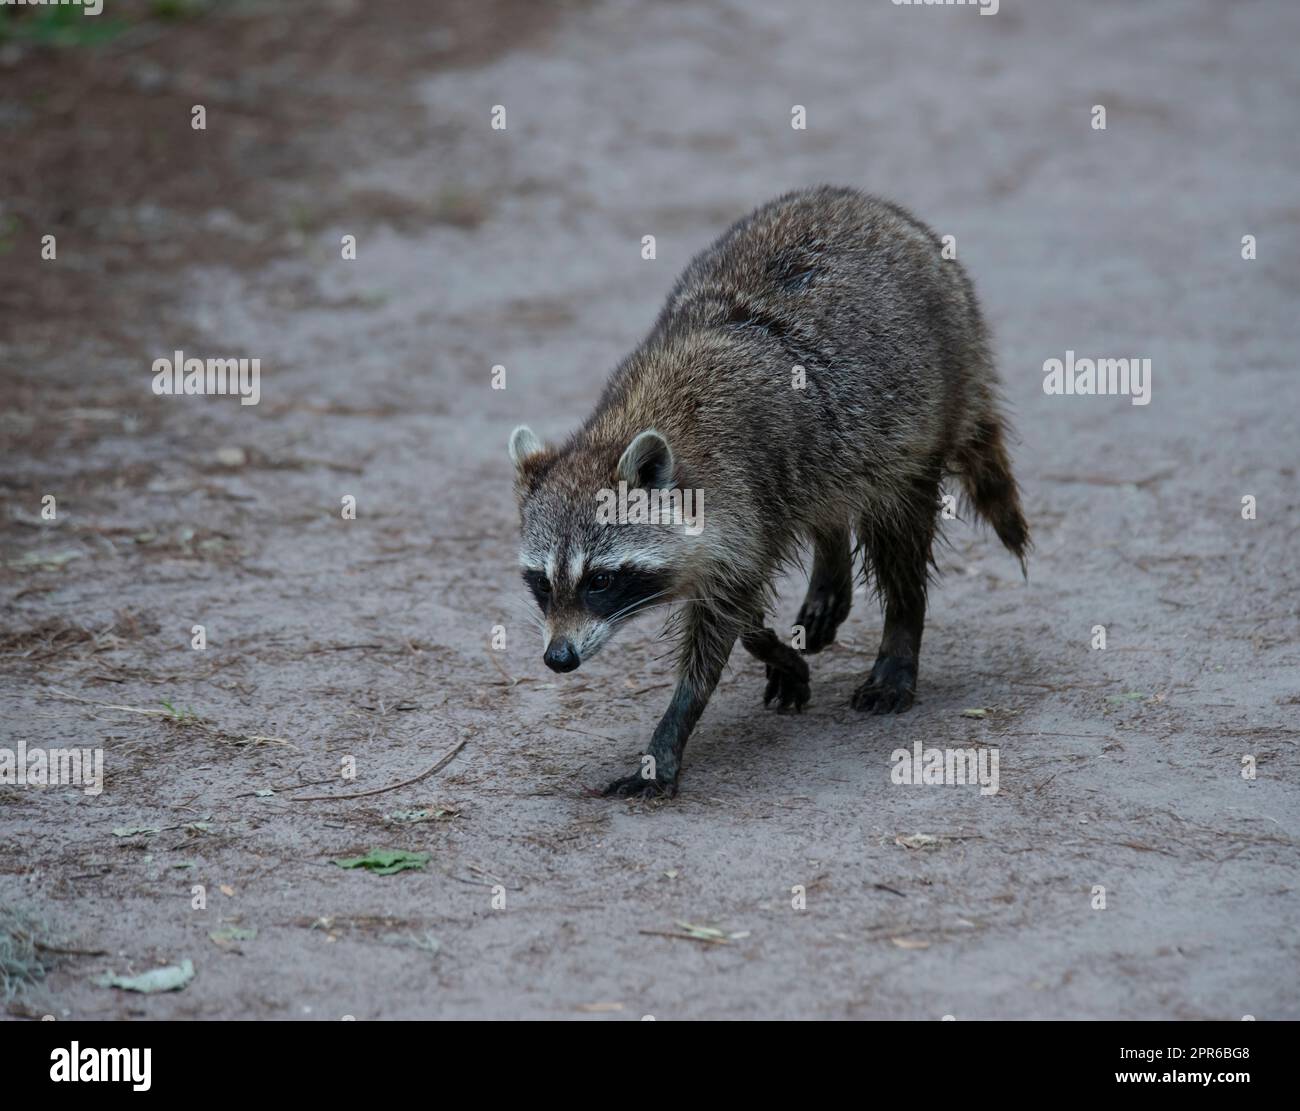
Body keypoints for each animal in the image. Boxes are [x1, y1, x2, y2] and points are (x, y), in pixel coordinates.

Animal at [509, 186, 1029, 798]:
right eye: (542, 582)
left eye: (601, 580)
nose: (558, 658)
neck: (632, 423)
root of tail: (865, 203)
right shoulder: (738, 518)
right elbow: (738, 602)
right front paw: (770, 649)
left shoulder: (747, 486)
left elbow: (723, 615)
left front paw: (673, 728)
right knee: (831, 501)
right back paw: (831, 567)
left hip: (919, 411)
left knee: (897, 533)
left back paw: (901, 633)